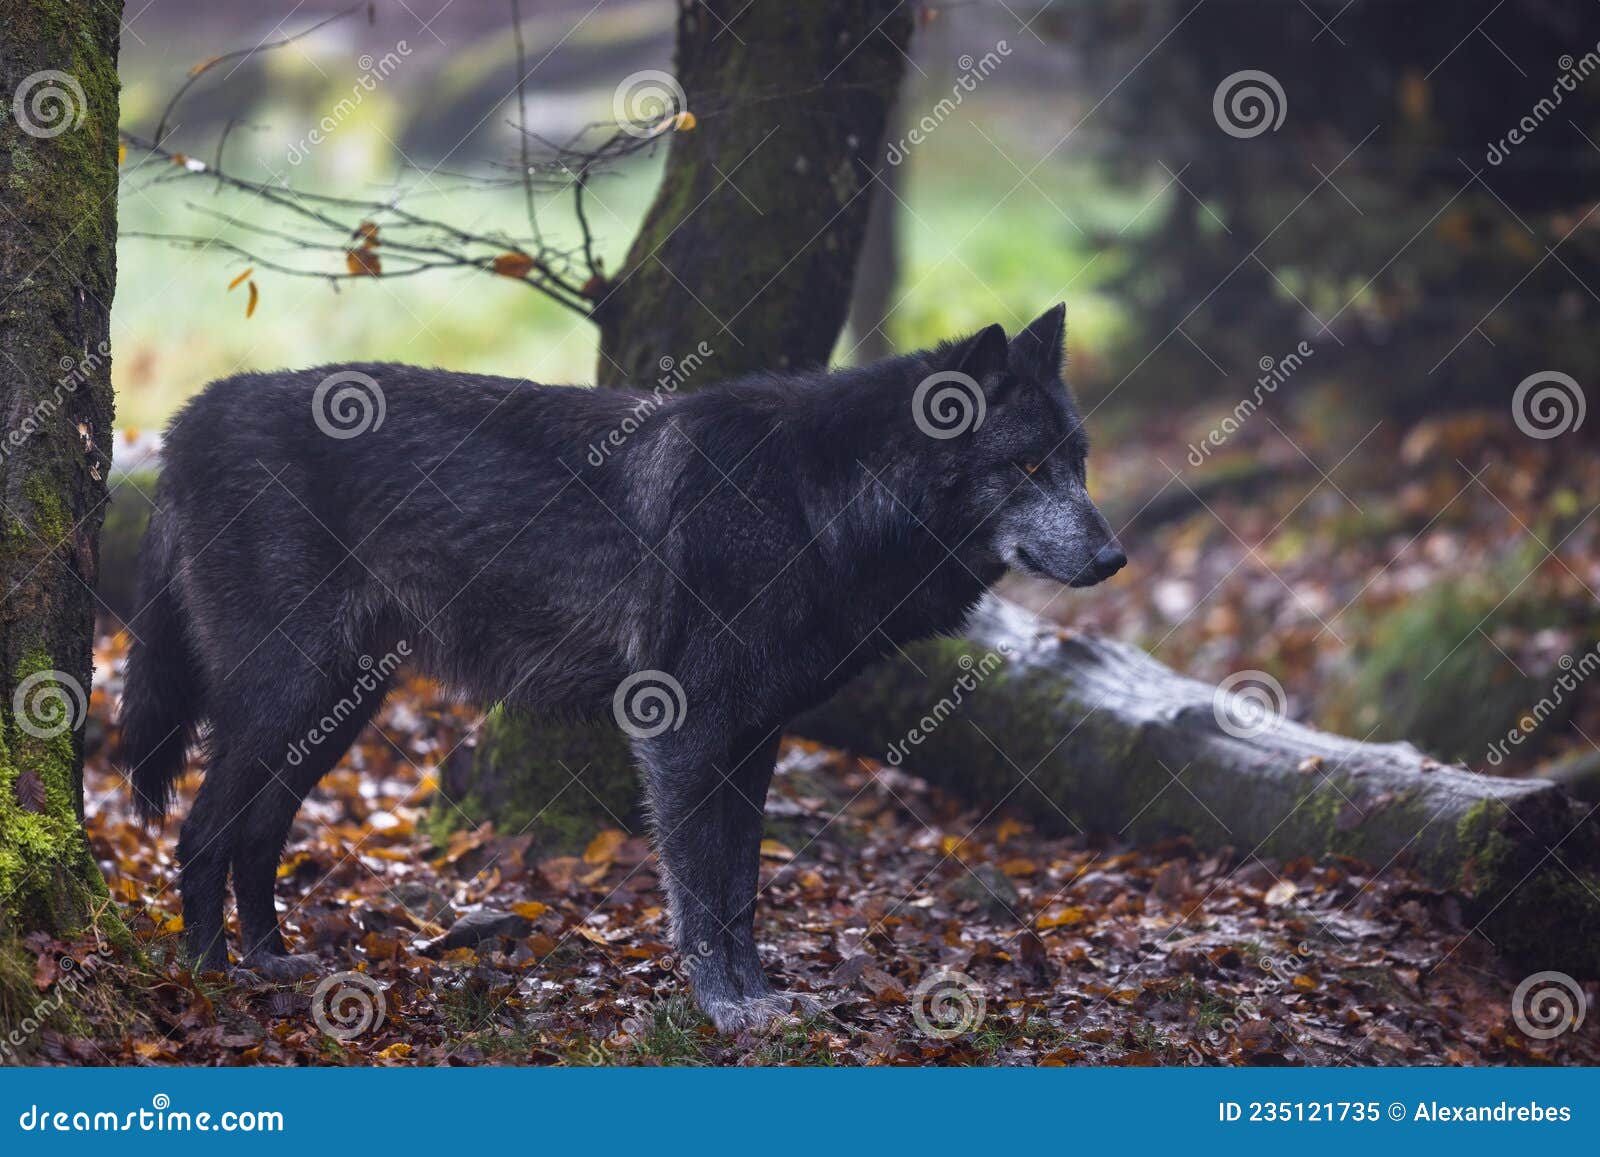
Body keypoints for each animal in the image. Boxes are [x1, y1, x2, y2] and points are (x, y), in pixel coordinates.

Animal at [118, 303, 1124, 1032]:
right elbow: (700, 891)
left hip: (332, 708)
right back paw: (209, 976)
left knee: (258, 830)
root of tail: (186, 418)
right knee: (201, 828)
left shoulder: (752, 738)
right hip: (285, 695)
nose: (1114, 558)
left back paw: (268, 958)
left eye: (1078, 462)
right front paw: (724, 1010)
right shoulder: (683, 729)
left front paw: (761, 998)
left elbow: (741, 890)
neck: (817, 498)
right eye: (1026, 467)